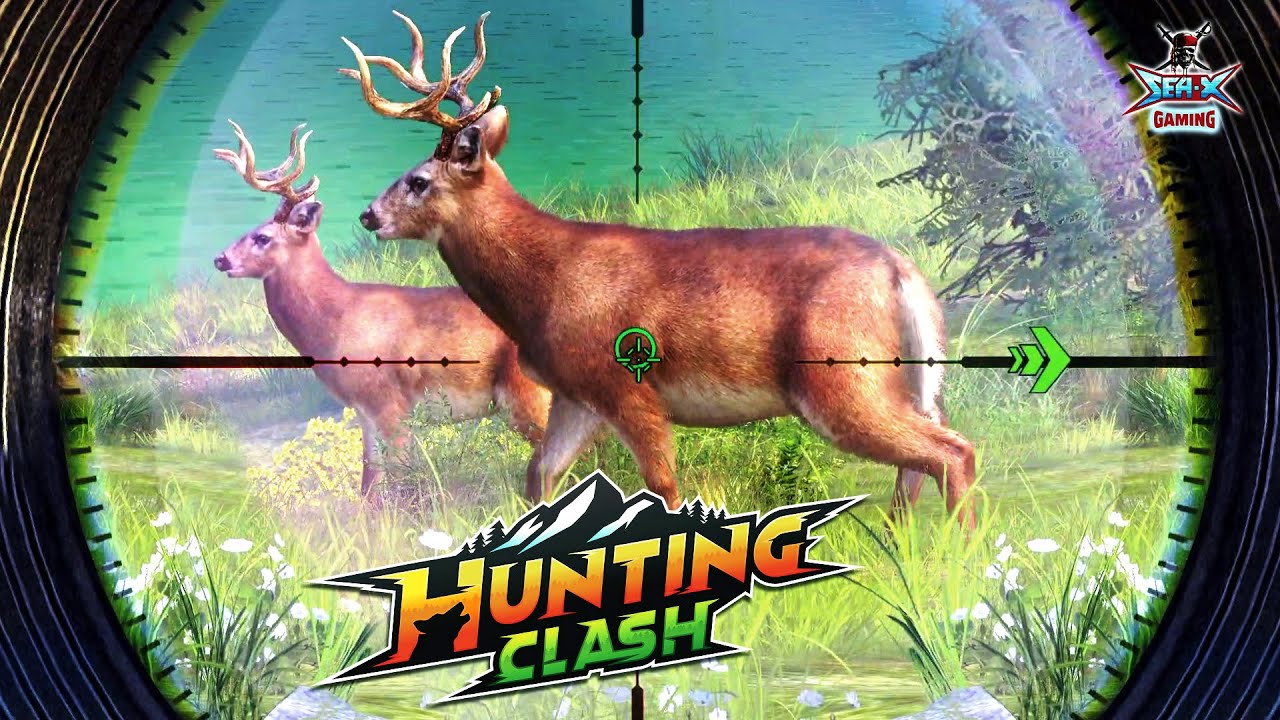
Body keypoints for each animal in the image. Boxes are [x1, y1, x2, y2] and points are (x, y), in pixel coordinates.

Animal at [211, 119, 551, 504]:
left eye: (263, 237)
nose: (220, 259)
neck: (337, 320)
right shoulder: (365, 411)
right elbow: (368, 480)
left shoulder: (390, 404)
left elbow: (396, 478)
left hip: (526, 393)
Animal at [337, 10, 978, 529]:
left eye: (418, 180)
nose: (368, 215)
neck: (543, 282)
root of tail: (903, 272)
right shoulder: (576, 395)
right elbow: (539, 477)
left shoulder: (628, 387)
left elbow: (664, 488)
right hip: (901, 377)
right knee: (926, 455)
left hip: (841, 372)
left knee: (953, 452)